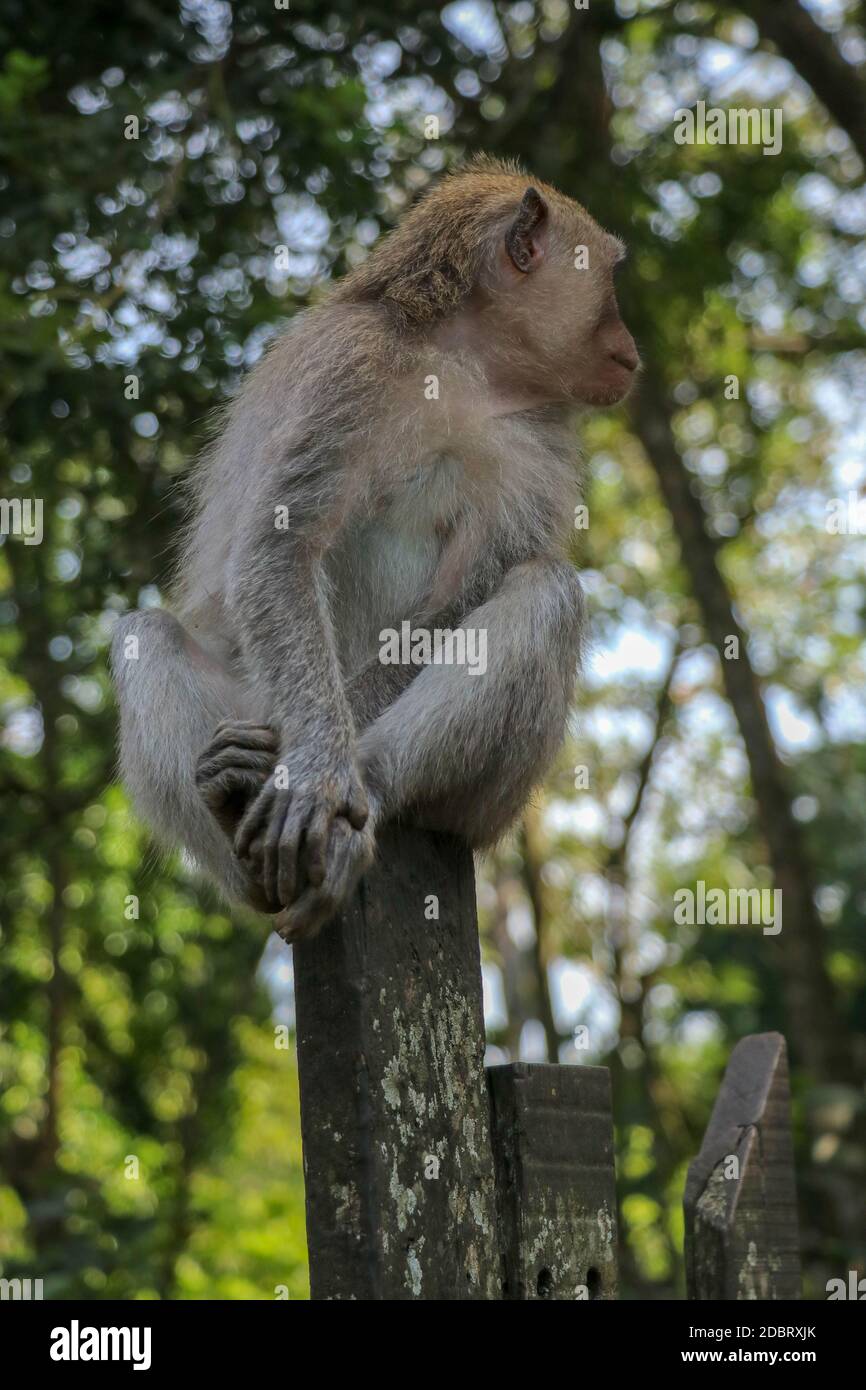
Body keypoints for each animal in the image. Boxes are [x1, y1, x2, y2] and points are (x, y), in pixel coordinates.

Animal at [111, 156, 639, 944]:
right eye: (609, 277)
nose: (632, 349)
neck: (464, 364)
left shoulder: (538, 443)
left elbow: (462, 597)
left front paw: (329, 778)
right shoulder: (354, 368)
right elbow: (282, 548)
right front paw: (319, 772)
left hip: (484, 808)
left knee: (546, 589)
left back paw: (364, 791)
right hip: (252, 701)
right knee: (146, 634)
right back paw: (233, 808)